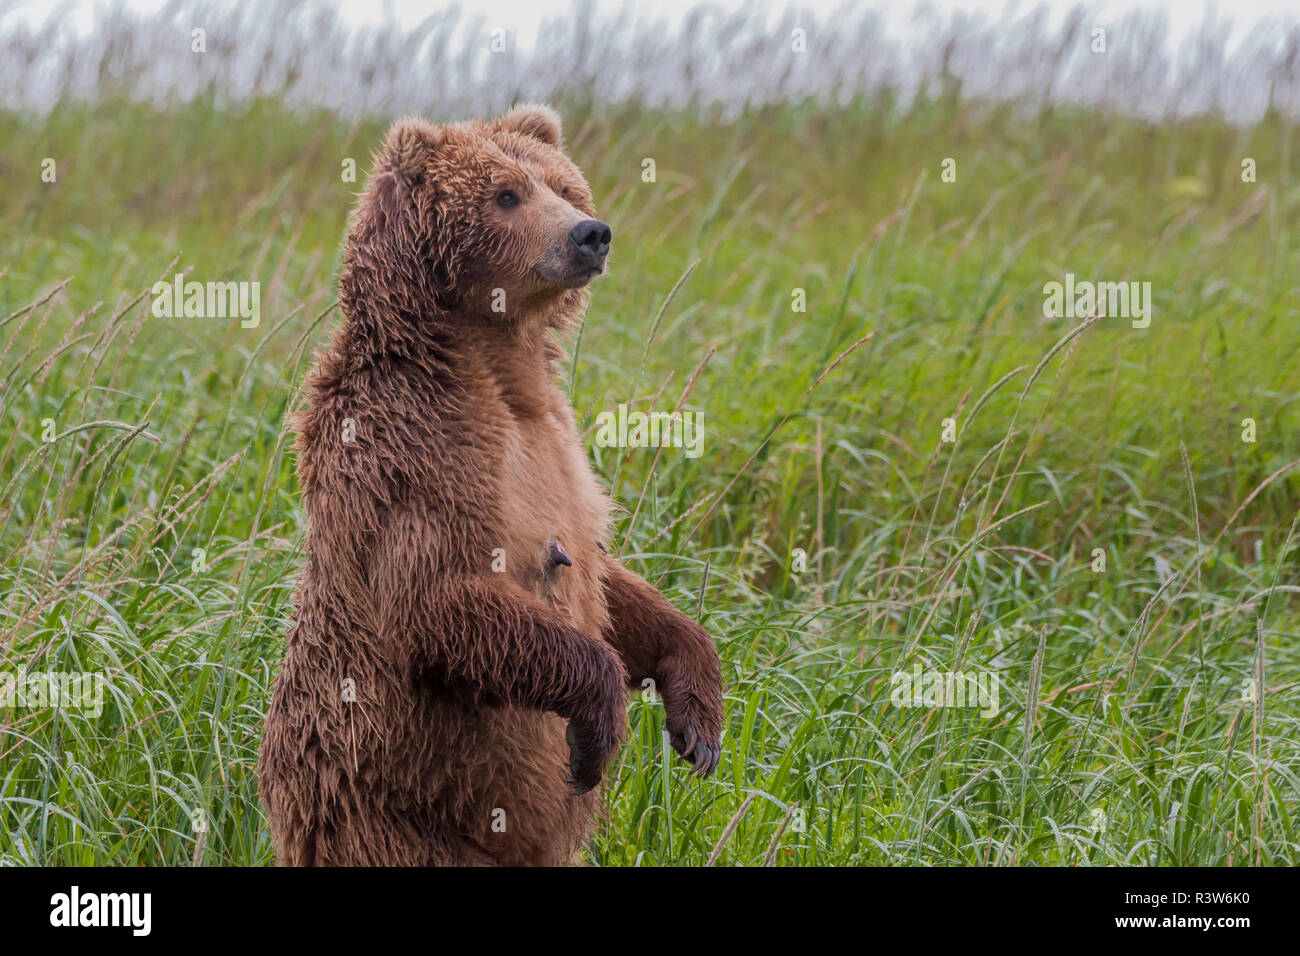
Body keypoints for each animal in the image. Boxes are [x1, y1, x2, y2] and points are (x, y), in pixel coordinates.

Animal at [257, 104, 724, 866]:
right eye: (506, 194)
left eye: (564, 187)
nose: (590, 233)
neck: (497, 365)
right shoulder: (414, 454)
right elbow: (435, 598)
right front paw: (599, 730)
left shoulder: (563, 454)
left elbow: (609, 580)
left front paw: (698, 719)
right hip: (393, 814)